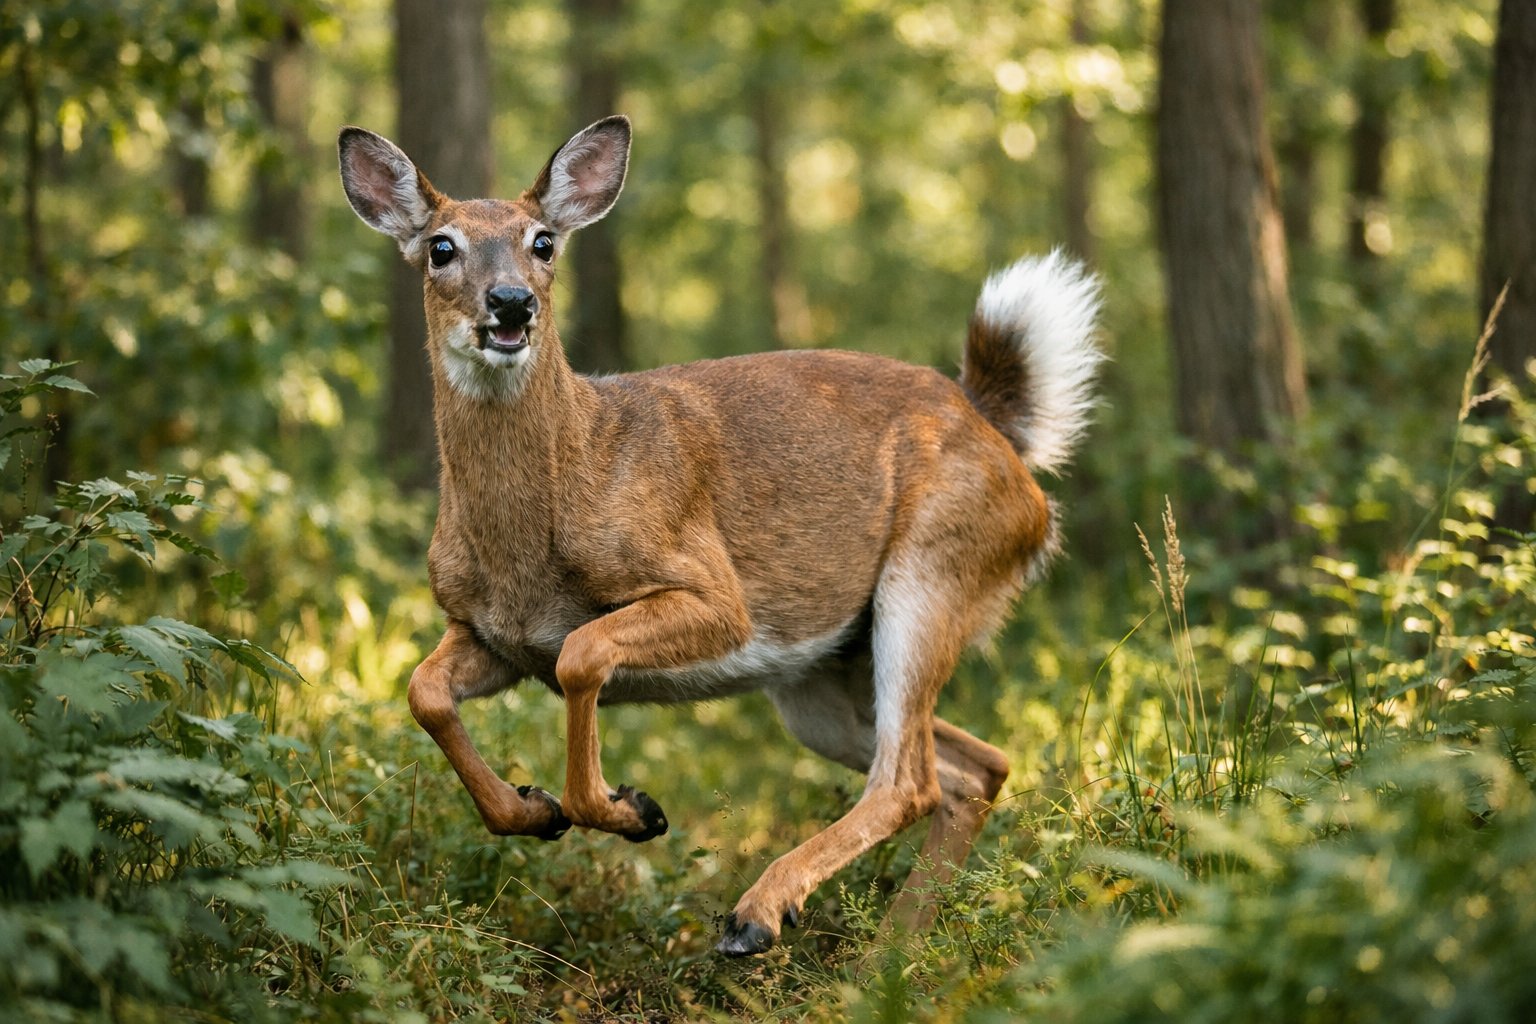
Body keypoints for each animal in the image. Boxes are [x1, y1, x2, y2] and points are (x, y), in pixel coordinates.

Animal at [338, 115, 1103, 957]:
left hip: (937, 568)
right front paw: (537, 809)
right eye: (440, 246)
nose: (510, 304)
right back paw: (886, 958)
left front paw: (625, 808)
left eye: (543, 242)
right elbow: (424, 691)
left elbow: (583, 652)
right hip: (823, 674)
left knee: (910, 778)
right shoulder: (489, 631)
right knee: (975, 767)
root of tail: (997, 432)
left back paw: (758, 916)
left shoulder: (713, 591)